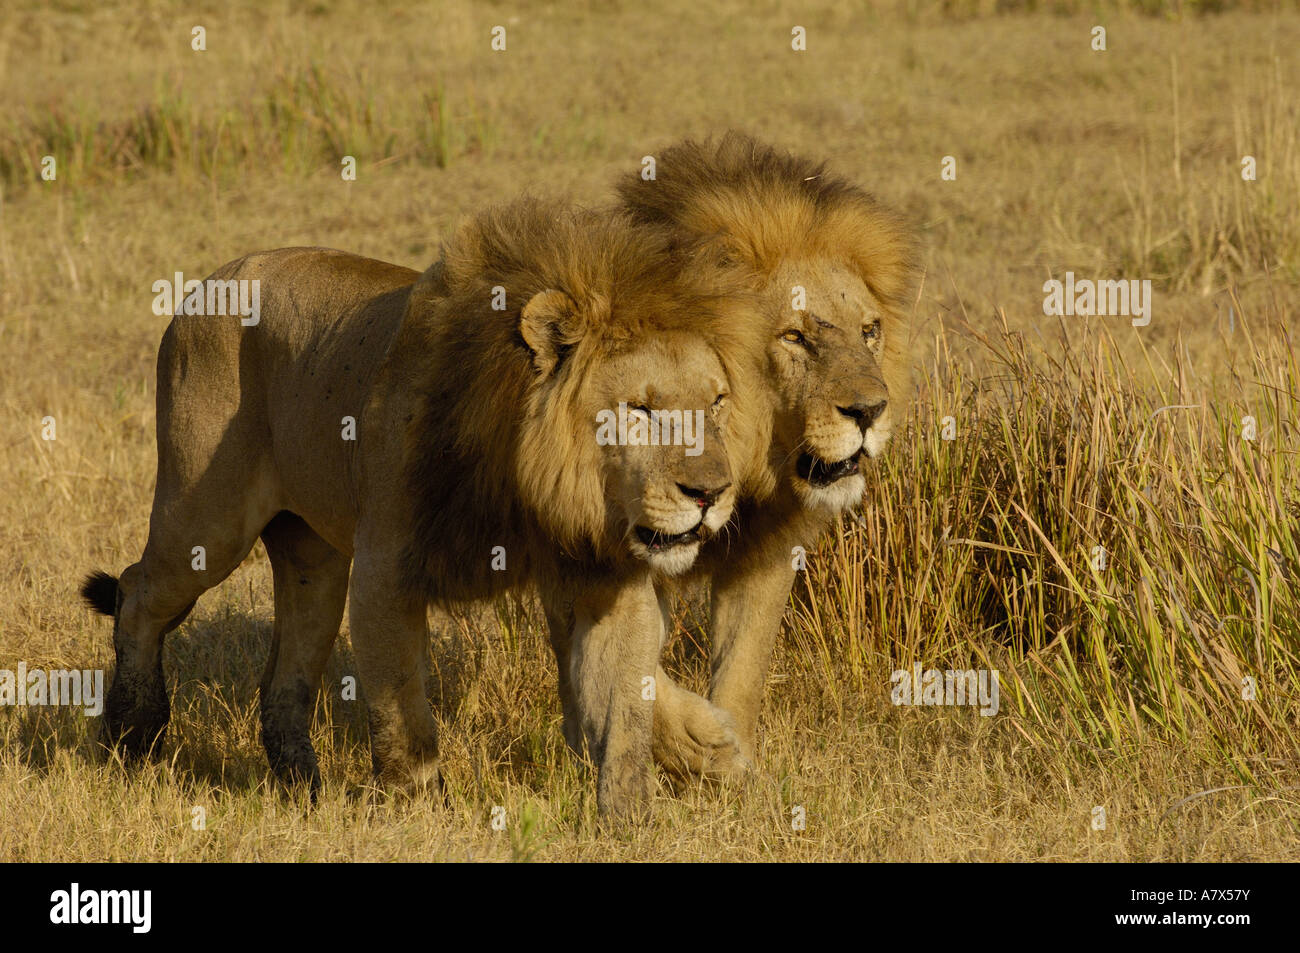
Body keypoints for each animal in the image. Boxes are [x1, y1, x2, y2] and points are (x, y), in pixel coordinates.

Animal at [79, 196, 769, 817]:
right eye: (641, 410)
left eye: (717, 402)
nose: (712, 494)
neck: (531, 483)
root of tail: (209, 283)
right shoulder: (386, 570)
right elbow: (400, 701)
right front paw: (416, 804)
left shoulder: (605, 574)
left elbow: (628, 695)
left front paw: (642, 806)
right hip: (208, 522)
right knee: (139, 591)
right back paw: (133, 735)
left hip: (312, 561)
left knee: (282, 680)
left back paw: (303, 788)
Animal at [604, 132, 919, 778]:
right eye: (793, 337)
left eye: (870, 331)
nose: (870, 412)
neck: (753, 465)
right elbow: (637, 664)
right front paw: (700, 741)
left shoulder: (766, 557)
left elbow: (743, 669)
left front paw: (738, 769)